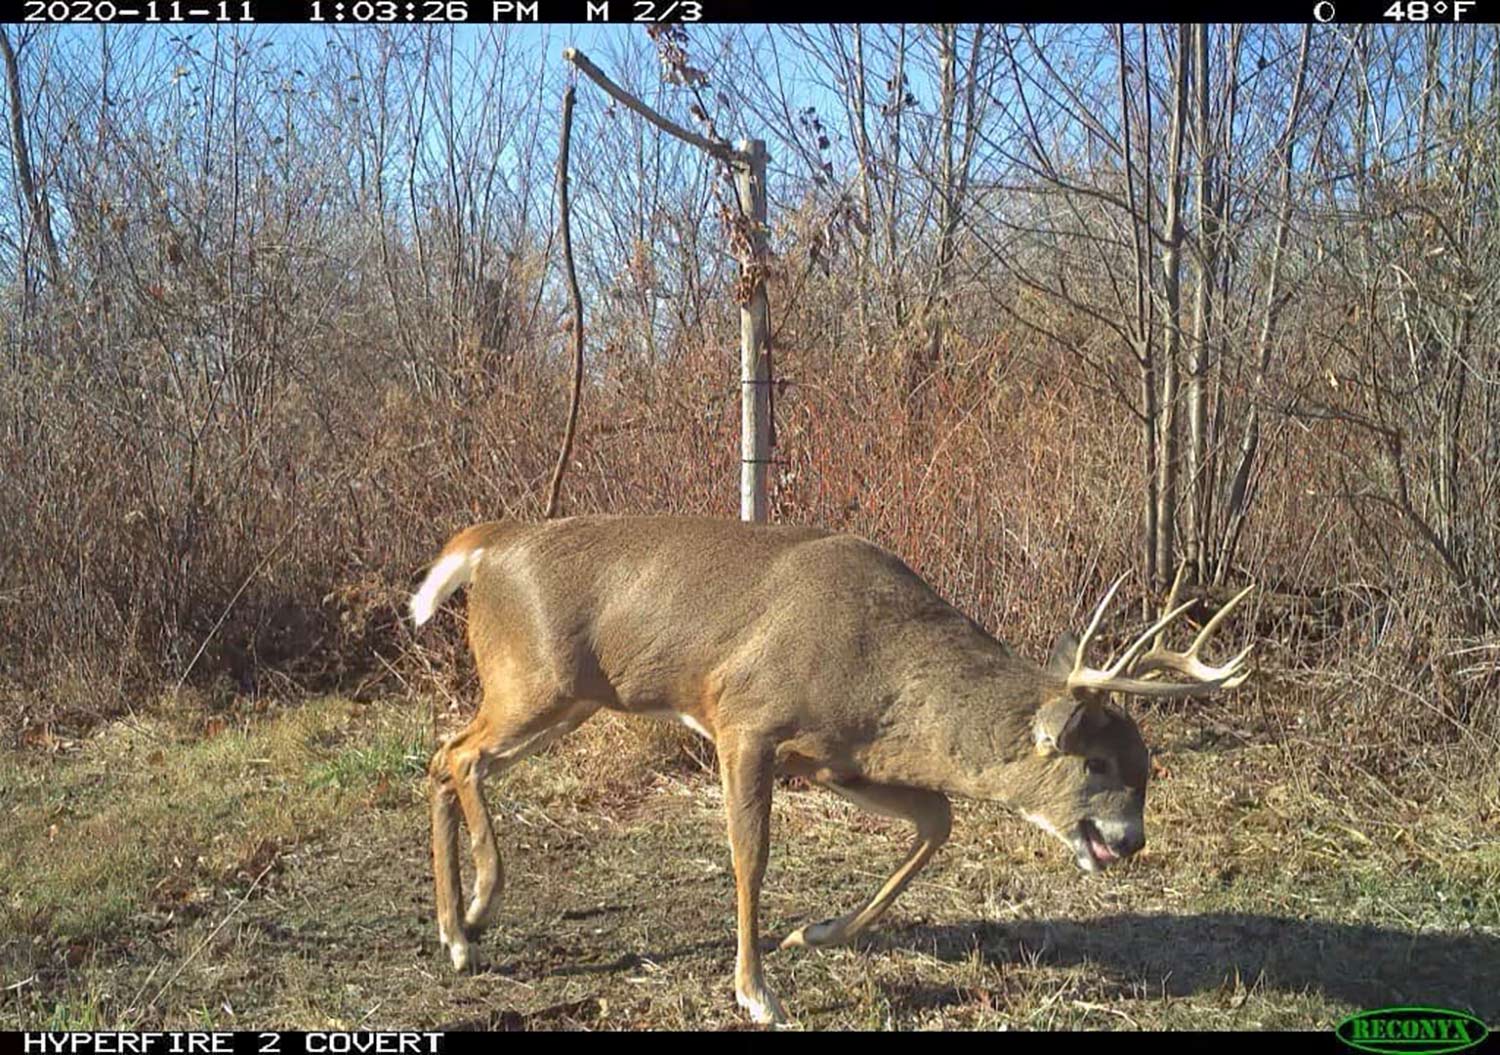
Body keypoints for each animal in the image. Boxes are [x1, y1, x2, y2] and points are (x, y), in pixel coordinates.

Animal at [408, 515, 1254, 1026]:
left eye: (1148, 764)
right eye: (1098, 759)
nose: (1132, 837)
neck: (879, 662)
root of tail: (490, 538)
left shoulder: (835, 760)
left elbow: (938, 819)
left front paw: (811, 933)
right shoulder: (746, 719)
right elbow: (750, 857)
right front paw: (757, 993)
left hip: (566, 699)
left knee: (442, 757)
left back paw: (460, 930)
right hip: (533, 679)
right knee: (456, 754)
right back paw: (474, 908)